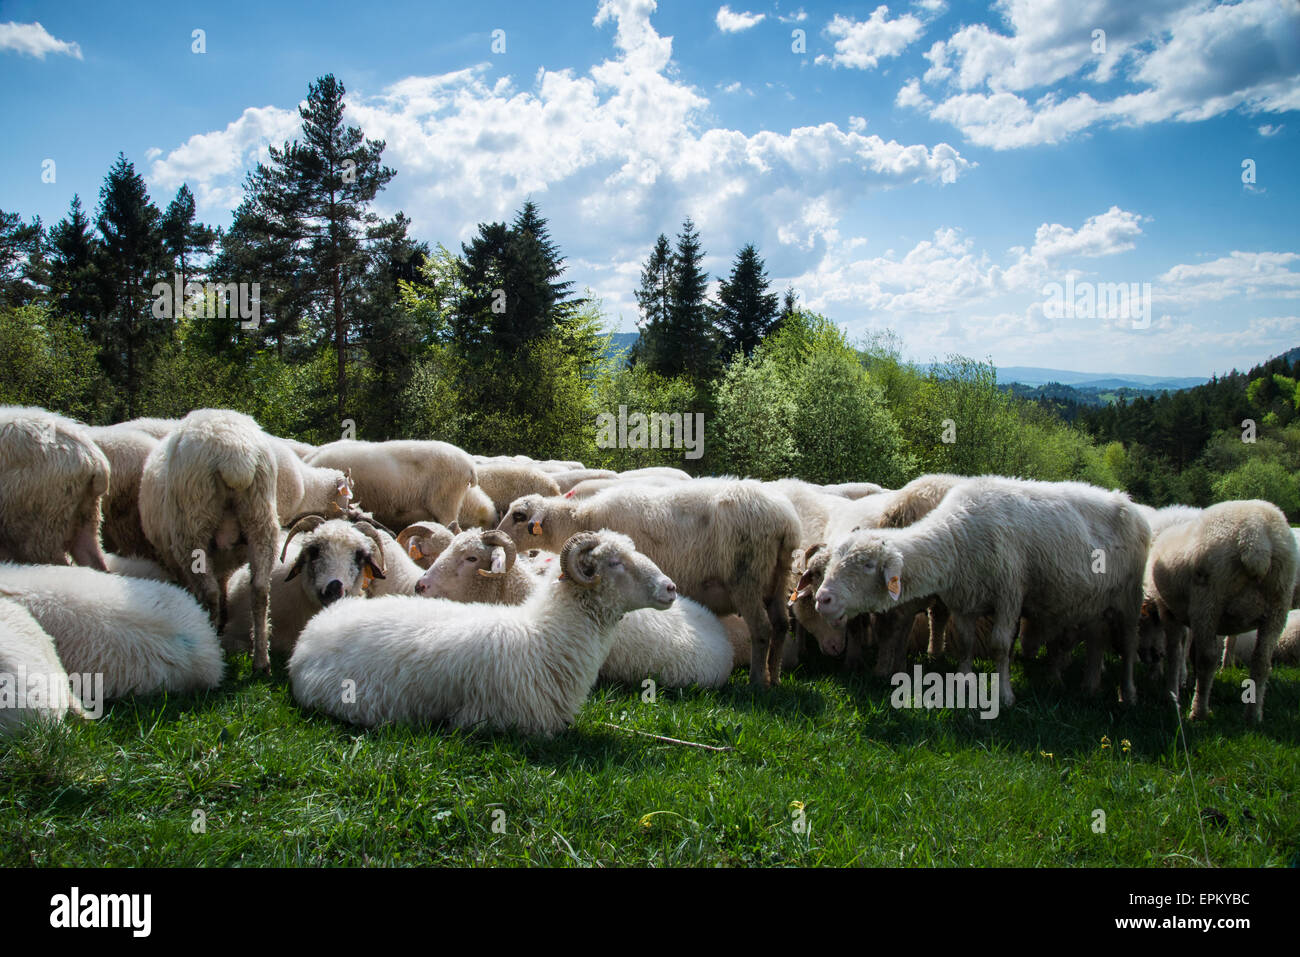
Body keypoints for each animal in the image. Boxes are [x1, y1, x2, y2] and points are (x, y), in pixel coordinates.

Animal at [139, 408, 280, 672]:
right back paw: (261, 660)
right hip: (261, 519)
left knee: (209, 593)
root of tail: (234, 453)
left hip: (191, 526)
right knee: (259, 590)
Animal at [498, 478, 800, 687]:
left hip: (747, 577)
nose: (498, 538)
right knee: (781, 625)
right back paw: (775, 678)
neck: (580, 519)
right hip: (778, 578)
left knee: (762, 629)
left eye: (519, 516)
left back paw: (757, 681)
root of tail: (787, 522)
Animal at [814, 477, 1150, 707]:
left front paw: (1005, 695)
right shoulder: (965, 600)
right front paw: (963, 684)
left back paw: (1129, 694)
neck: (957, 535)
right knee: (1096, 640)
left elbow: (1001, 645)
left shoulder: (1009, 594)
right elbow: (964, 643)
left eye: (868, 564)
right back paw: (1086, 686)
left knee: (1130, 646)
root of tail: (1128, 503)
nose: (823, 599)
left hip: (1129, 599)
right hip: (1095, 604)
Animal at [1145, 499, 1297, 722]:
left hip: (1209, 600)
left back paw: (1198, 711)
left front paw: (1171, 693)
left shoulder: (1168, 610)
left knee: (1208, 658)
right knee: (1261, 661)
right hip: (1278, 604)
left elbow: (1175, 651)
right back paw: (1252, 715)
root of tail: (1255, 537)